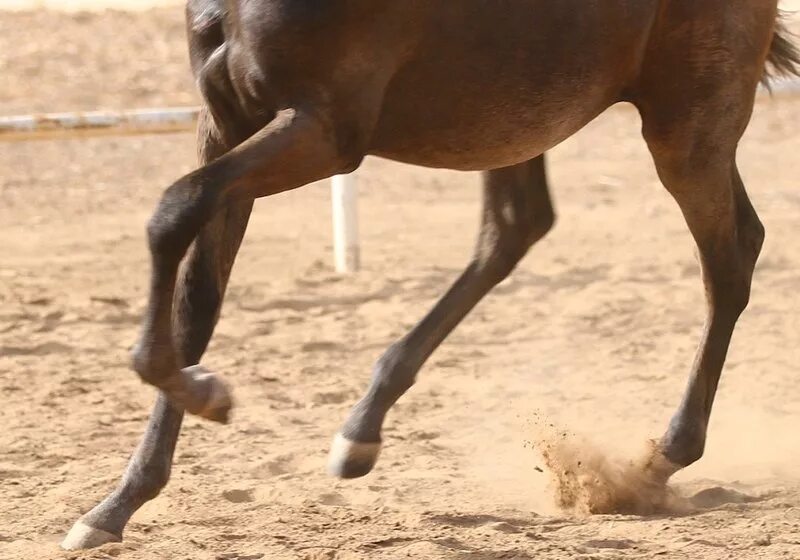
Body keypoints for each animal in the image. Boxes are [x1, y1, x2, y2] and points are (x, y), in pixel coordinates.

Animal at [64, 0, 800, 548]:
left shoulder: (326, 129)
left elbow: (171, 211)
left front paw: (210, 396)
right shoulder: (227, 119)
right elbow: (197, 296)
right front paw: (115, 506)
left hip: (685, 124)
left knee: (730, 257)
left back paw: (663, 457)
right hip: (514, 113)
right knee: (514, 229)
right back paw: (360, 432)